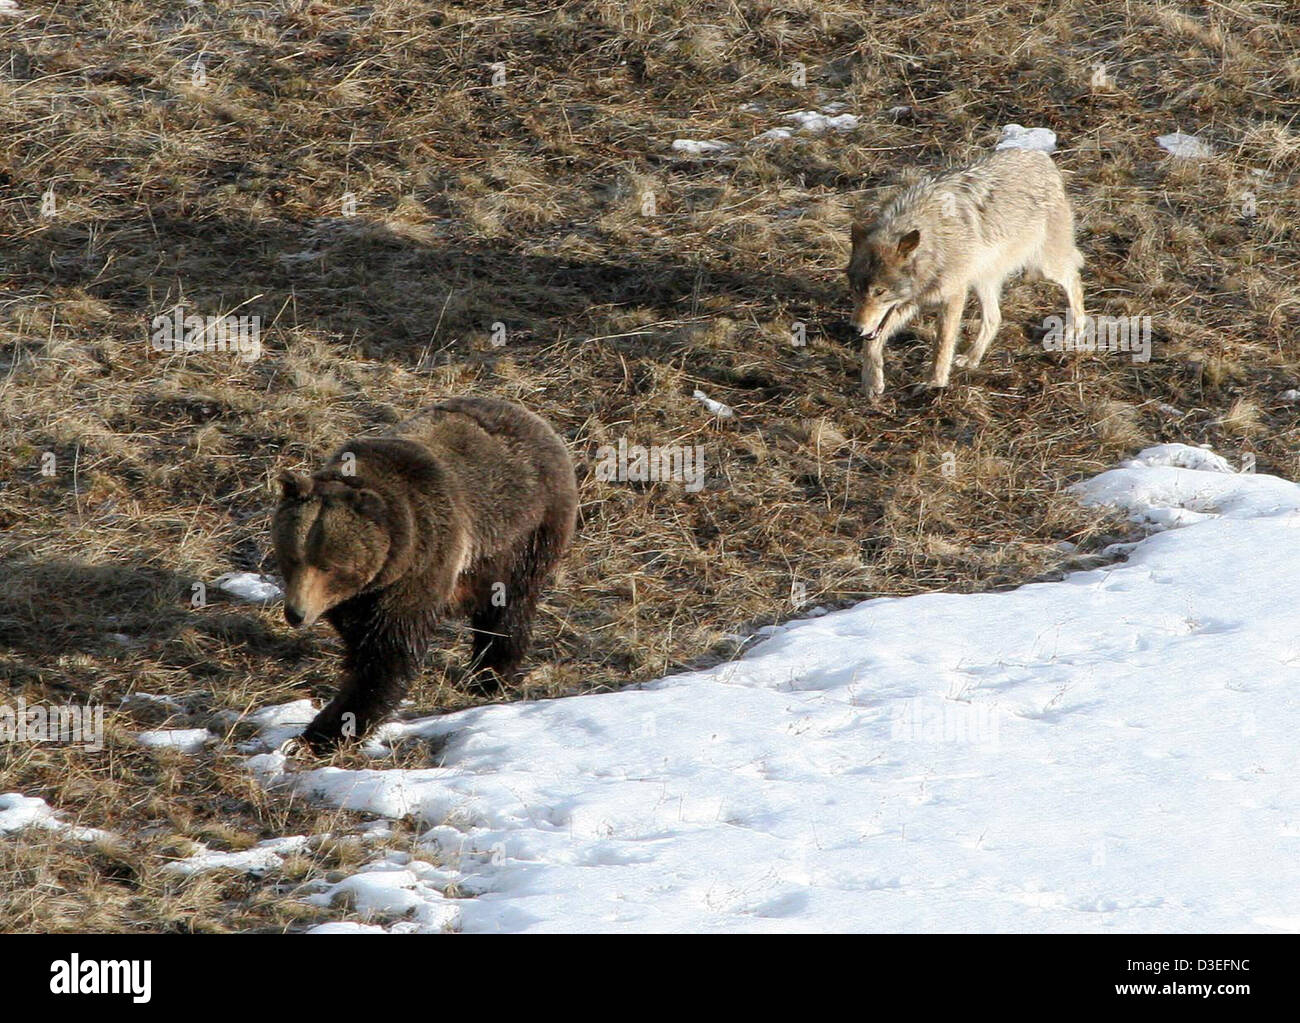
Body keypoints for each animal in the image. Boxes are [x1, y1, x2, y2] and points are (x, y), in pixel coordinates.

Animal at [272, 396, 578, 752]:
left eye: (328, 565)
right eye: (292, 557)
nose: (296, 613)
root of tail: (535, 419)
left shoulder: (423, 563)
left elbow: (388, 654)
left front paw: (324, 732)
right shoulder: (359, 596)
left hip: (524, 533)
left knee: (508, 606)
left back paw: (489, 675)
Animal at [847, 147, 1086, 398]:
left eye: (880, 292)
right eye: (856, 289)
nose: (854, 328)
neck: (934, 245)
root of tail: (1041, 156)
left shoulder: (953, 296)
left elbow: (942, 344)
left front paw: (934, 382)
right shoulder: (908, 303)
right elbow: (871, 343)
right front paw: (871, 382)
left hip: (1045, 265)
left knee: (1074, 278)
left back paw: (1075, 329)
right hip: (983, 280)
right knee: (994, 318)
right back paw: (972, 358)